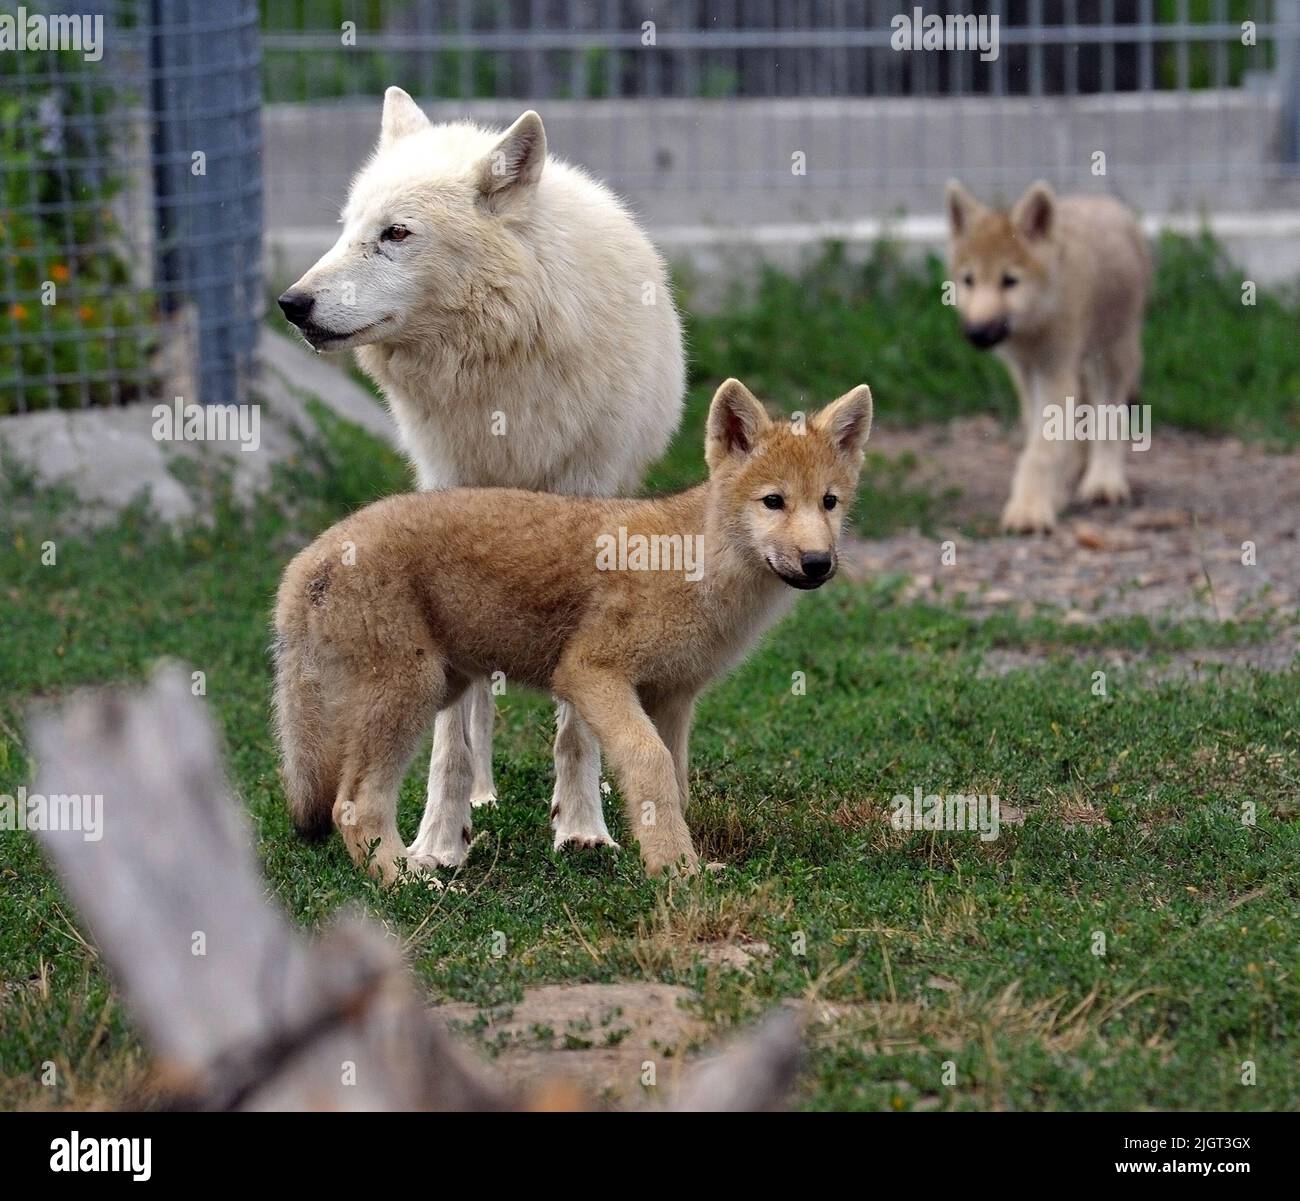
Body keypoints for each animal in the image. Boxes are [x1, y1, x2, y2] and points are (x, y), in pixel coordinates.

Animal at [272, 378, 873, 881]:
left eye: (829, 502)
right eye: (773, 501)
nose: (818, 562)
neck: (699, 568)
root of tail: (306, 561)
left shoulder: (673, 698)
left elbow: (675, 787)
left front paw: (685, 862)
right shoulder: (591, 674)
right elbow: (651, 767)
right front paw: (676, 872)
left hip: (439, 688)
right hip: (410, 696)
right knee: (353, 804)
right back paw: (411, 882)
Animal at [277, 88, 684, 868]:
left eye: (395, 233)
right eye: (346, 229)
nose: (292, 303)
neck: (493, 375)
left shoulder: (585, 500)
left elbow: (574, 719)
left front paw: (581, 825)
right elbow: (453, 733)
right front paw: (440, 838)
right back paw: (484, 797)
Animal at [945, 180, 1151, 532]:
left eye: (1010, 281)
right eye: (969, 280)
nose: (976, 333)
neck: (1036, 323)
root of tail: (1104, 201)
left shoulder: (1055, 371)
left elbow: (1043, 449)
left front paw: (1030, 510)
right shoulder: (1027, 371)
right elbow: (1042, 435)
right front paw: (1051, 496)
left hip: (1112, 354)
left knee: (1109, 414)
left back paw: (1103, 482)